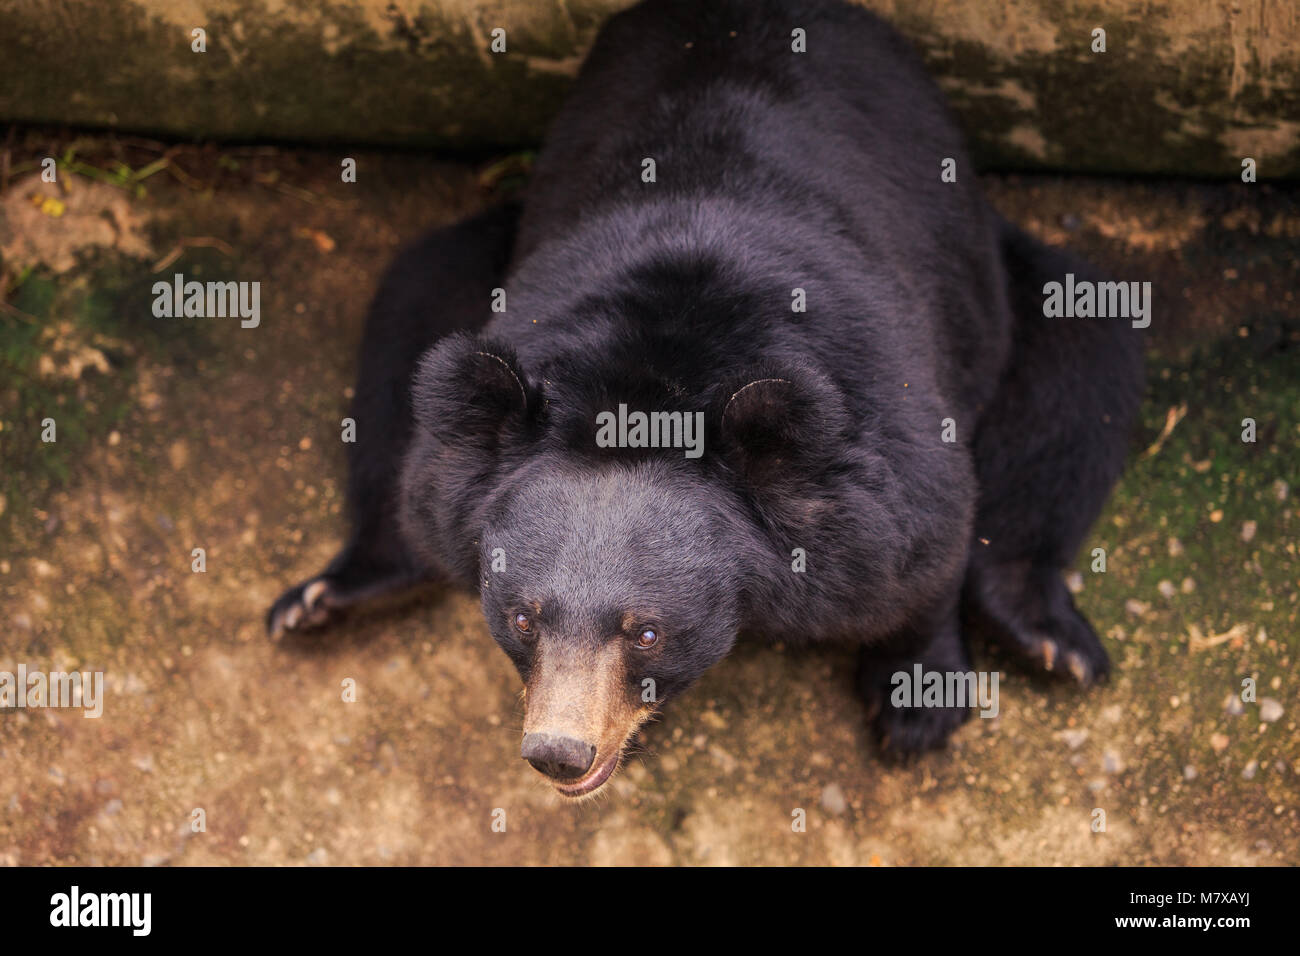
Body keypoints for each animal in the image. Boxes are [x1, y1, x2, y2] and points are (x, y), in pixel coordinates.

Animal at [267, 0, 1144, 798]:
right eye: (521, 618)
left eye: (647, 632)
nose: (559, 754)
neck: (647, 384)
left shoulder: (880, 431)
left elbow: (925, 541)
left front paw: (917, 705)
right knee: (404, 336)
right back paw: (329, 595)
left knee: (1082, 366)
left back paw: (1047, 636)